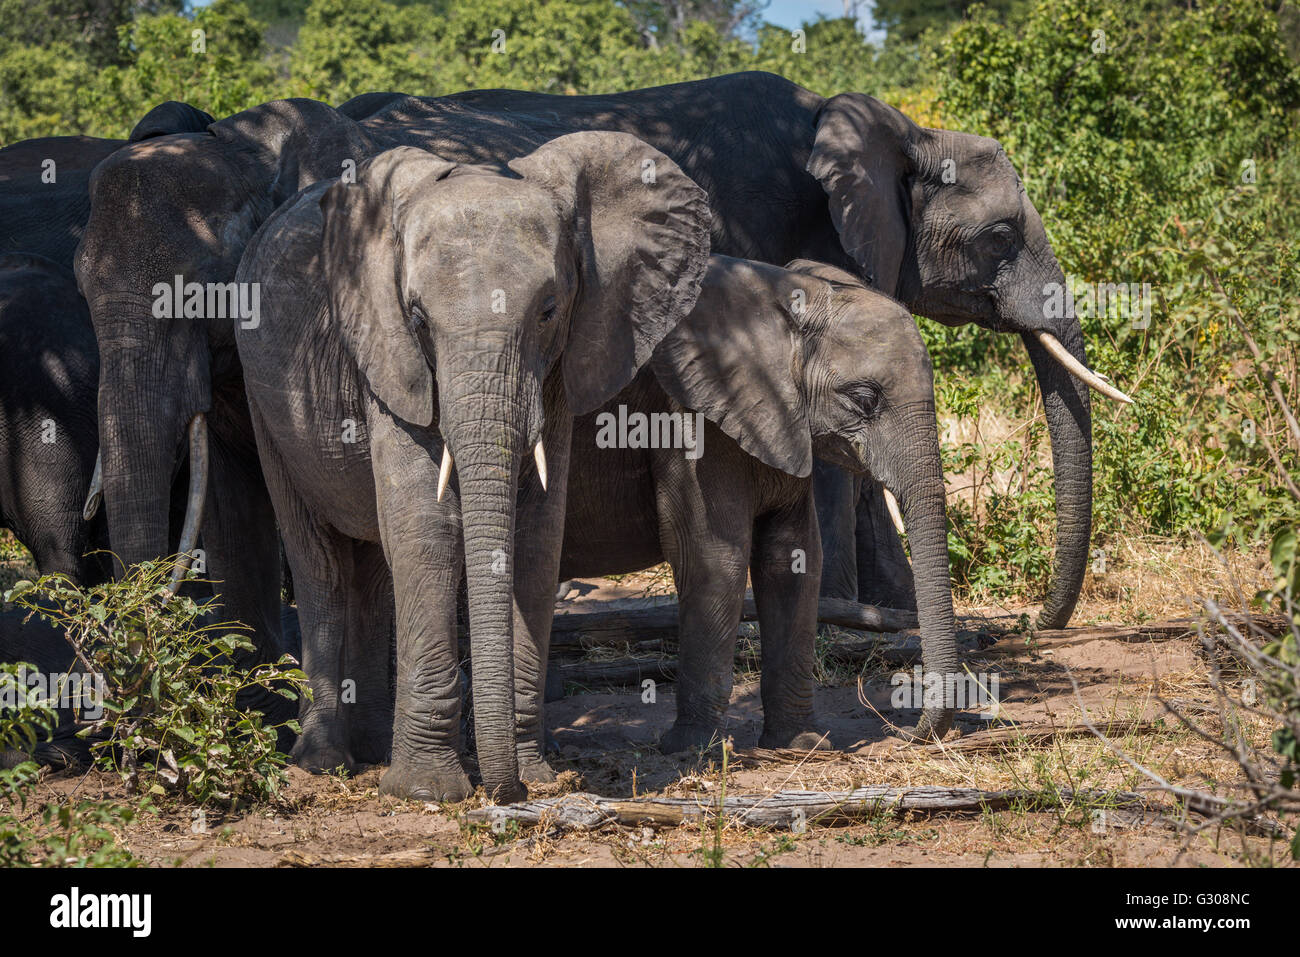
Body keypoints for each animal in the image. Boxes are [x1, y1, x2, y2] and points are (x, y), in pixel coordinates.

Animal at [232, 136, 711, 801]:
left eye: (549, 310)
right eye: (416, 318)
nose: (505, 790)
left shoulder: (561, 366)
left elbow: (537, 535)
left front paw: (534, 775)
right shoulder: (390, 356)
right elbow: (427, 529)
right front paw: (428, 792)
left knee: (374, 571)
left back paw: (374, 749)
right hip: (263, 401)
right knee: (319, 563)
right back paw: (324, 762)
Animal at [346, 72, 1132, 628]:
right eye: (1001, 237)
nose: (1041, 619)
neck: (904, 133)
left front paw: (893, 611)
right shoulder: (794, 236)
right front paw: (855, 613)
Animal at [558, 255, 956, 750]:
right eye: (864, 399)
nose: (904, 733)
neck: (789, 293)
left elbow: (793, 557)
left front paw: (801, 744)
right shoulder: (687, 417)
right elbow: (714, 557)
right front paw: (690, 750)